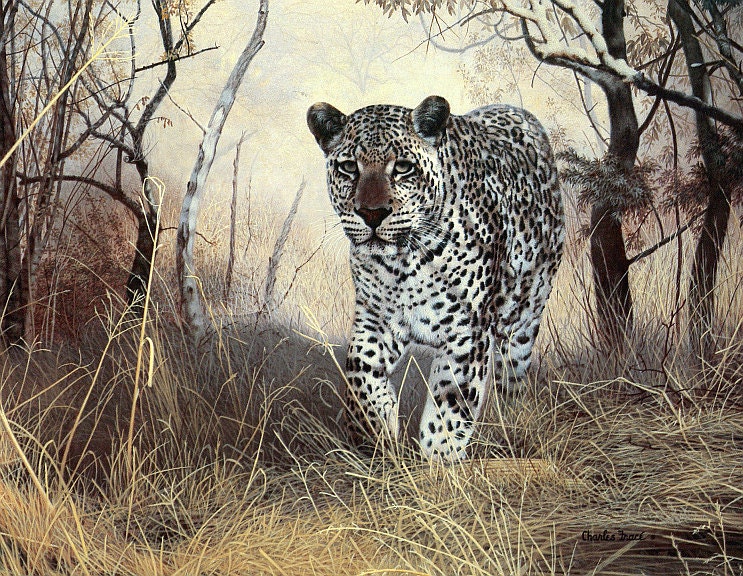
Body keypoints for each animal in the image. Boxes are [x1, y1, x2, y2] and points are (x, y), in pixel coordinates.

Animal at [307, 95, 564, 461]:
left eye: (402, 167)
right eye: (348, 167)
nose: (371, 214)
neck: (403, 262)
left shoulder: (467, 332)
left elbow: (450, 405)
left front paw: (439, 463)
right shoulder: (375, 319)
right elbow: (360, 373)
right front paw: (376, 437)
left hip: (524, 313)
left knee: (513, 373)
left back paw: (513, 423)